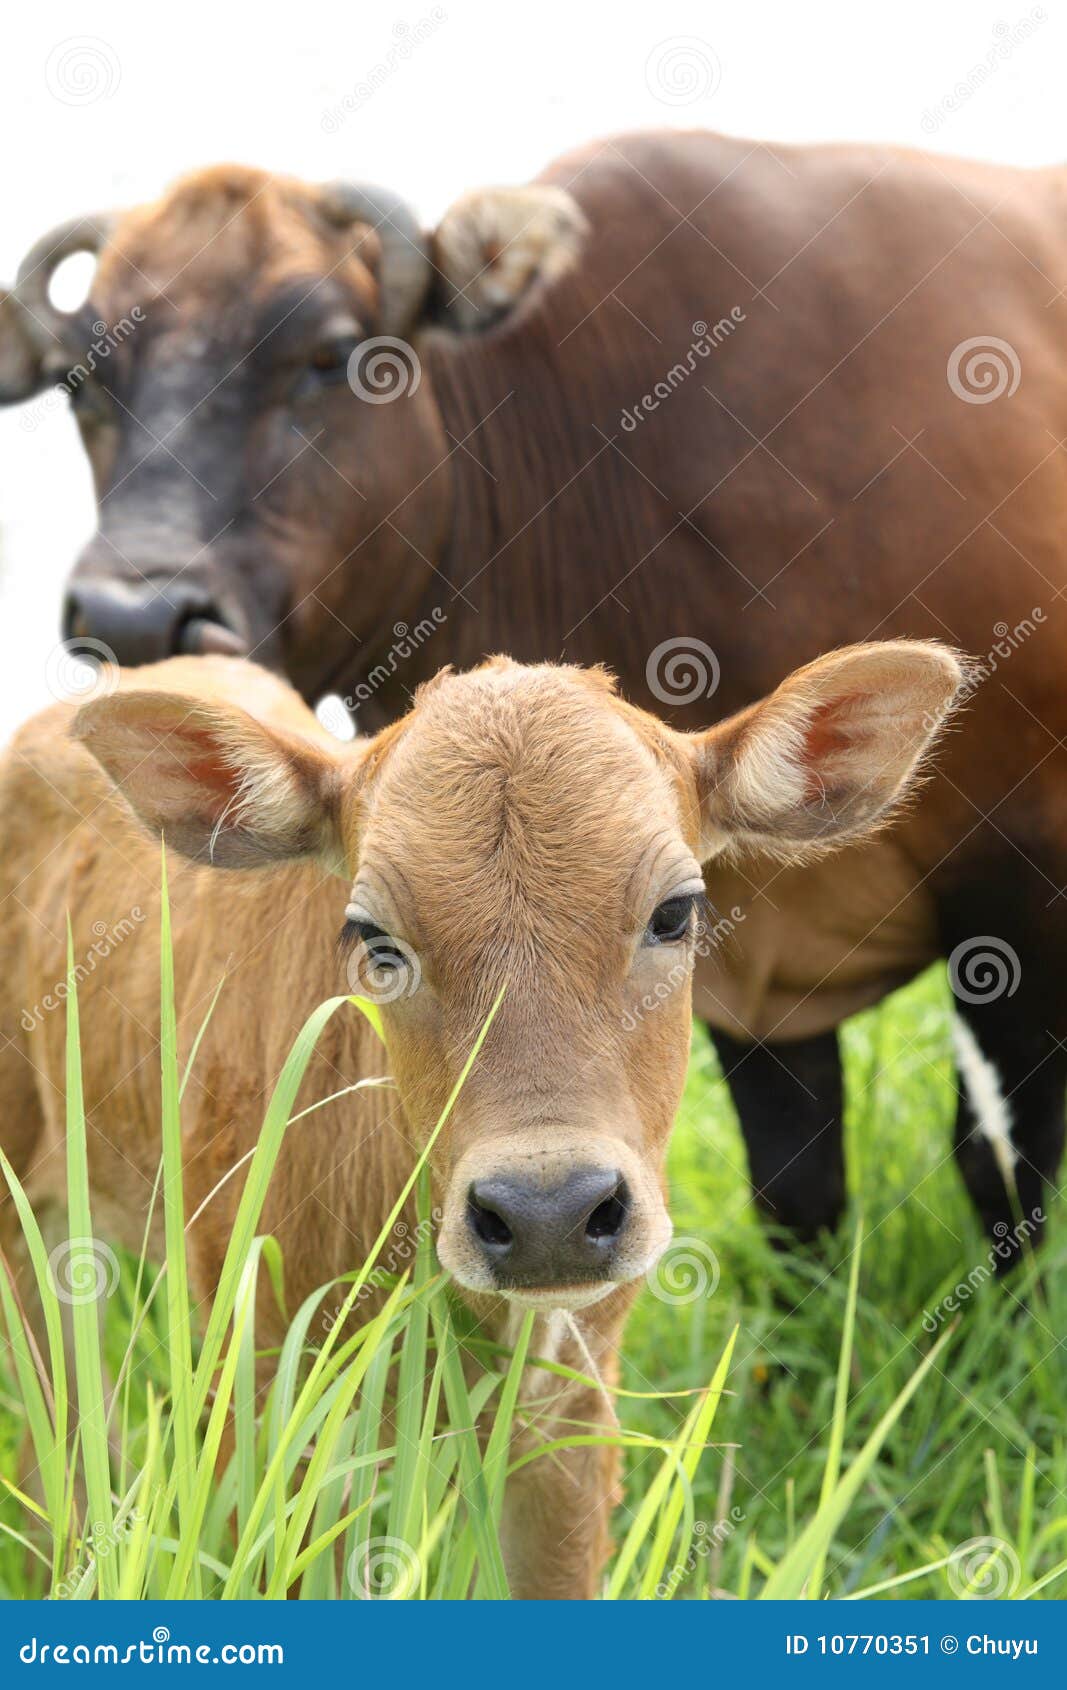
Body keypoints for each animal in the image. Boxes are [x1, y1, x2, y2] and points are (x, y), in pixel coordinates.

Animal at [1, 130, 1064, 1265]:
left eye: (335, 355)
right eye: (80, 383)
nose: (137, 614)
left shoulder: (1015, 879)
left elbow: (1006, 1174)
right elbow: (797, 1186)